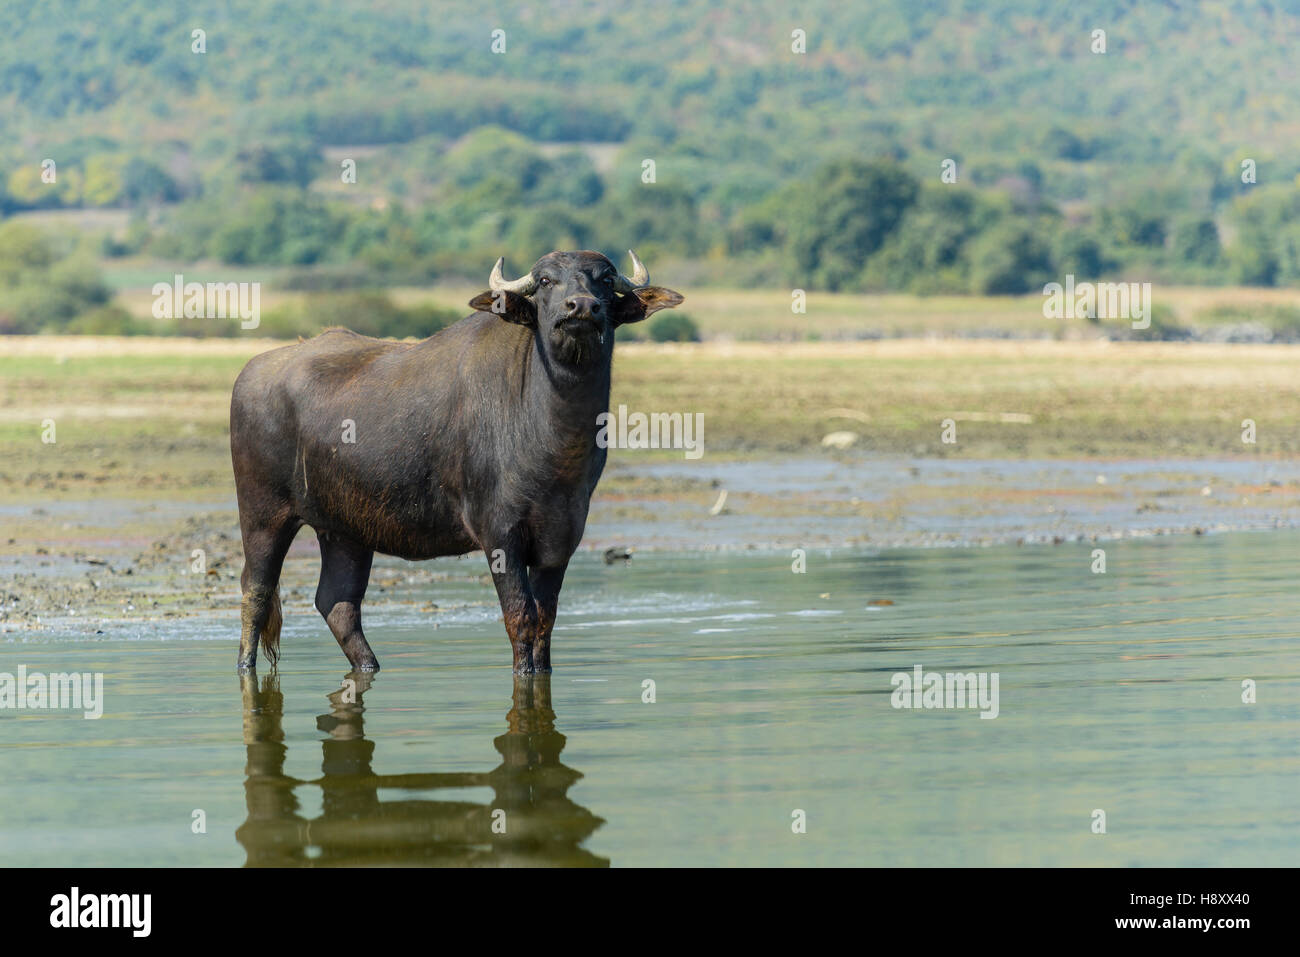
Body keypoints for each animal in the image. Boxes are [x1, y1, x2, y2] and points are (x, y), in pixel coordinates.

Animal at [230, 250, 683, 674]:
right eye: (545, 281)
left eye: (605, 279)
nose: (582, 307)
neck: (552, 439)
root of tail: (251, 371)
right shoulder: (499, 535)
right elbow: (520, 618)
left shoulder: (562, 538)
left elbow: (546, 621)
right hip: (263, 514)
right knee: (257, 590)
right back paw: (245, 665)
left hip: (345, 530)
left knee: (338, 602)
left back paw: (370, 665)